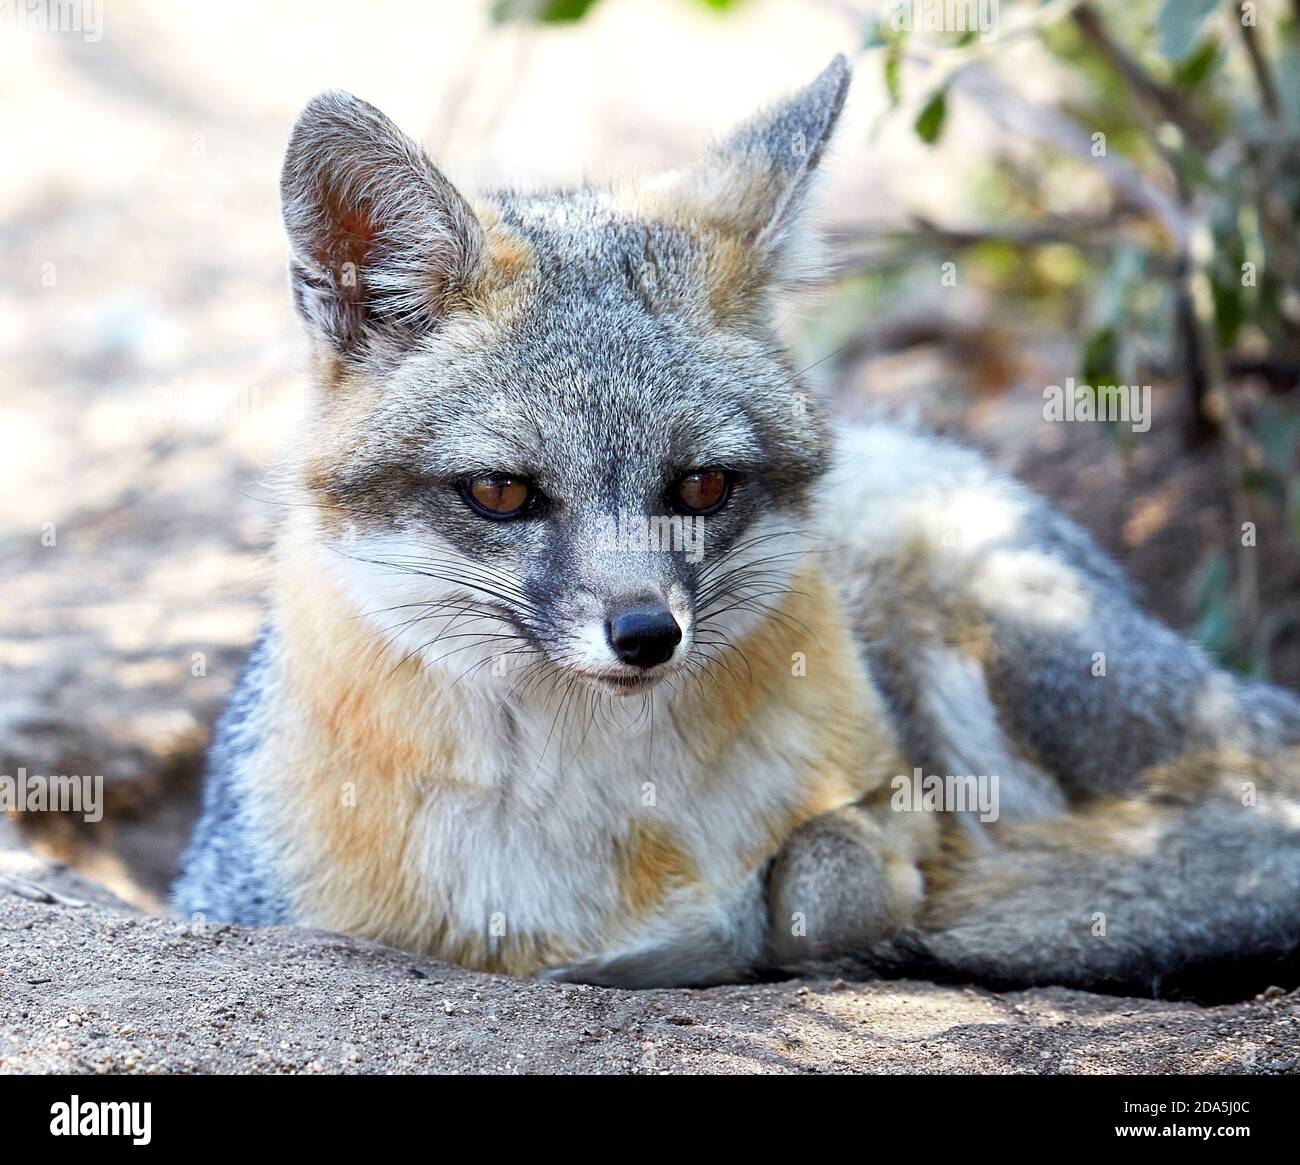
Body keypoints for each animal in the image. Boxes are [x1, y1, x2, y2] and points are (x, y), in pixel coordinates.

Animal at [174, 56, 1300, 996]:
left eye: (704, 485)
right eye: (500, 493)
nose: (645, 634)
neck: (612, 824)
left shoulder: (891, 793)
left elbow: (828, 881)